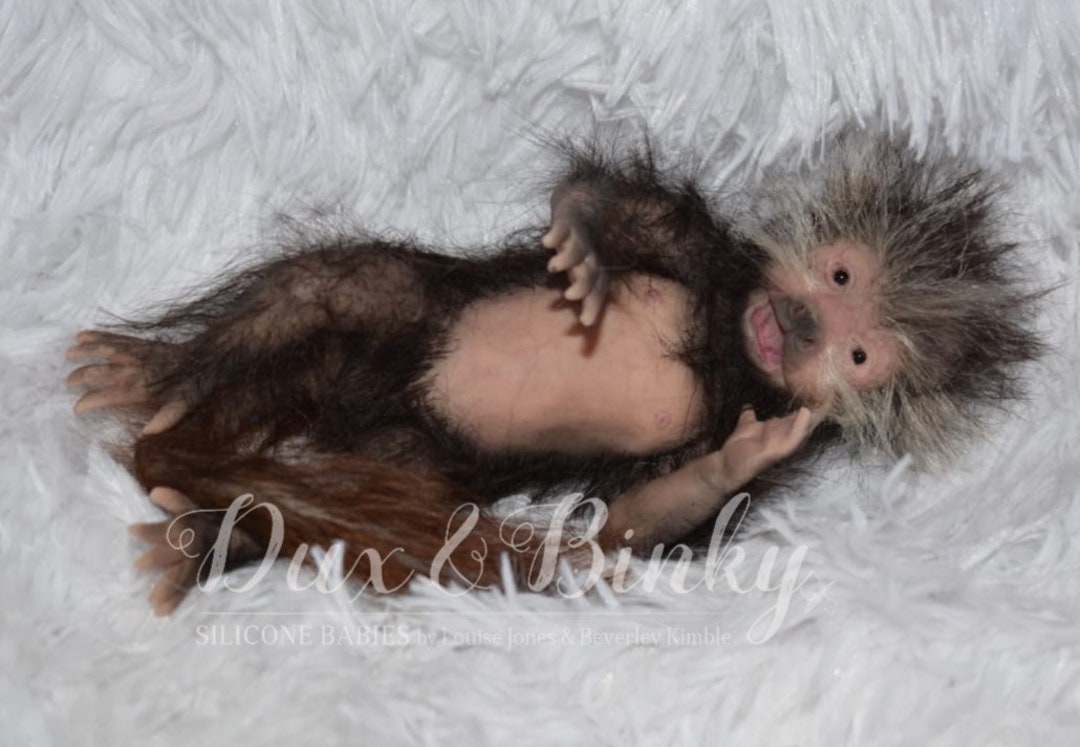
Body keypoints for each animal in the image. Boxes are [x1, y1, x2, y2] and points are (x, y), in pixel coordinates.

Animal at [66, 131, 1041, 615]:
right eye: (839, 275)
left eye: (861, 355)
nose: (800, 327)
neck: (734, 352)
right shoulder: (704, 252)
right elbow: (627, 208)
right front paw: (582, 242)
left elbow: (639, 518)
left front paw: (744, 453)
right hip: (398, 313)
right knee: (326, 287)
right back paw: (161, 380)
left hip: (414, 459)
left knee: (366, 518)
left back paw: (203, 536)